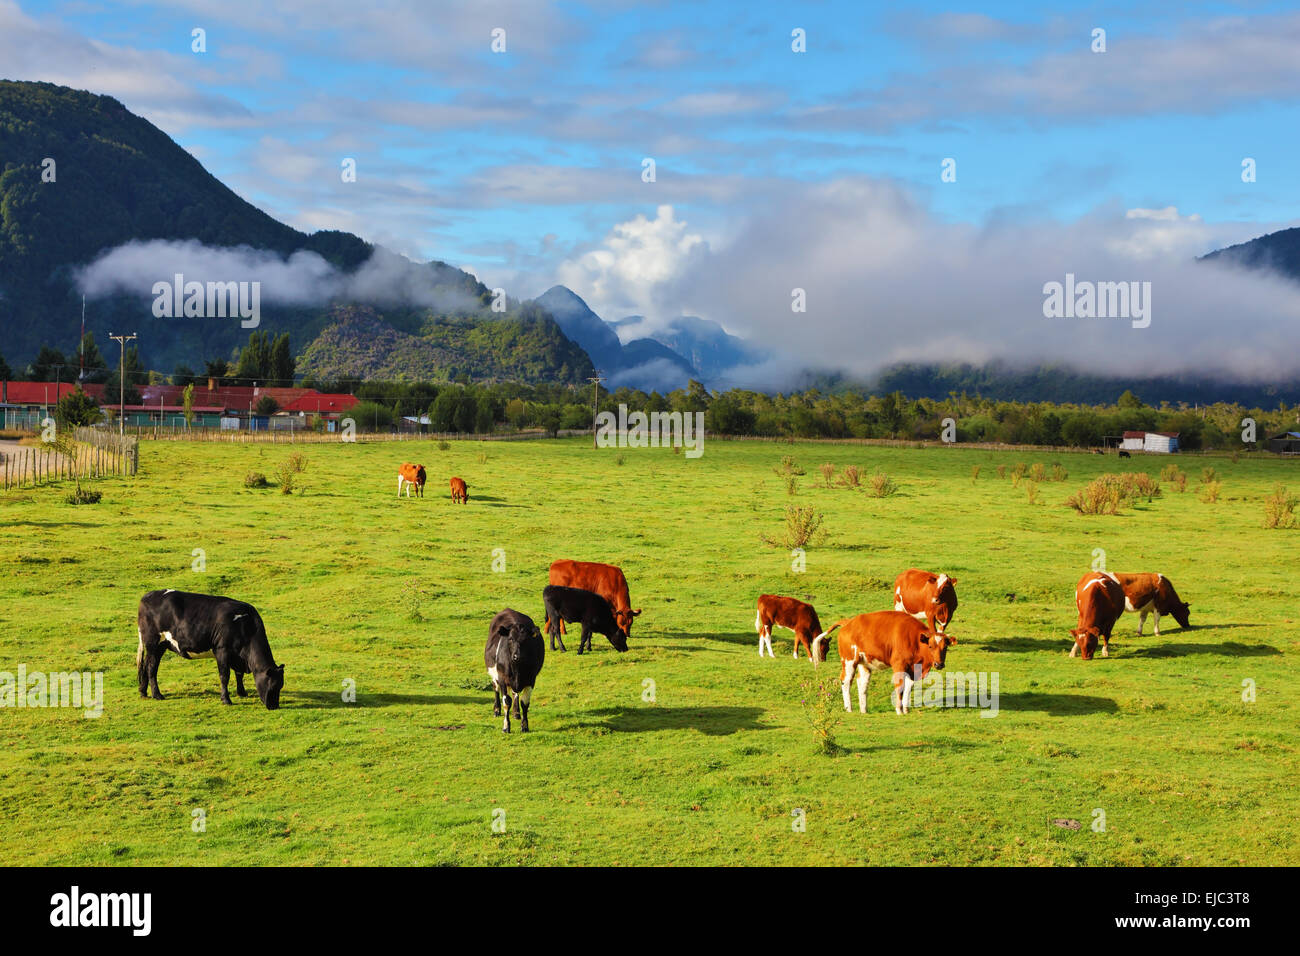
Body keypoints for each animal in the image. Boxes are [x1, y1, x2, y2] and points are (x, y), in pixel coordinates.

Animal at [137, 590, 285, 709]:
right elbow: (224, 676)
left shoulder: (237, 656)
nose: (274, 706)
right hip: (152, 642)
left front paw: (242, 692)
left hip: (160, 646)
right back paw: (157, 695)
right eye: (272, 686)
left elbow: (239, 674)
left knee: (146, 666)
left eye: (281, 685)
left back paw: (143, 692)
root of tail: (147, 596)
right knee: (151, 667)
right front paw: (226, 699)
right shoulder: (222, 650)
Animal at [812, 611, 952, 715]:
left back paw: (864, 710)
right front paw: (899, 710)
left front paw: (906, 709)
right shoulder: (899, 665)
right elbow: (900, 687)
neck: (914, 639)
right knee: (846, 681)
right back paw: (849, 709)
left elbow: (908, 688)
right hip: (849, 662)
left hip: (864, 663)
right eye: (930, 646)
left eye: (945, 647)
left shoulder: (914, 669)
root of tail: (848, 622)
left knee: (862, 683)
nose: (939, 664)